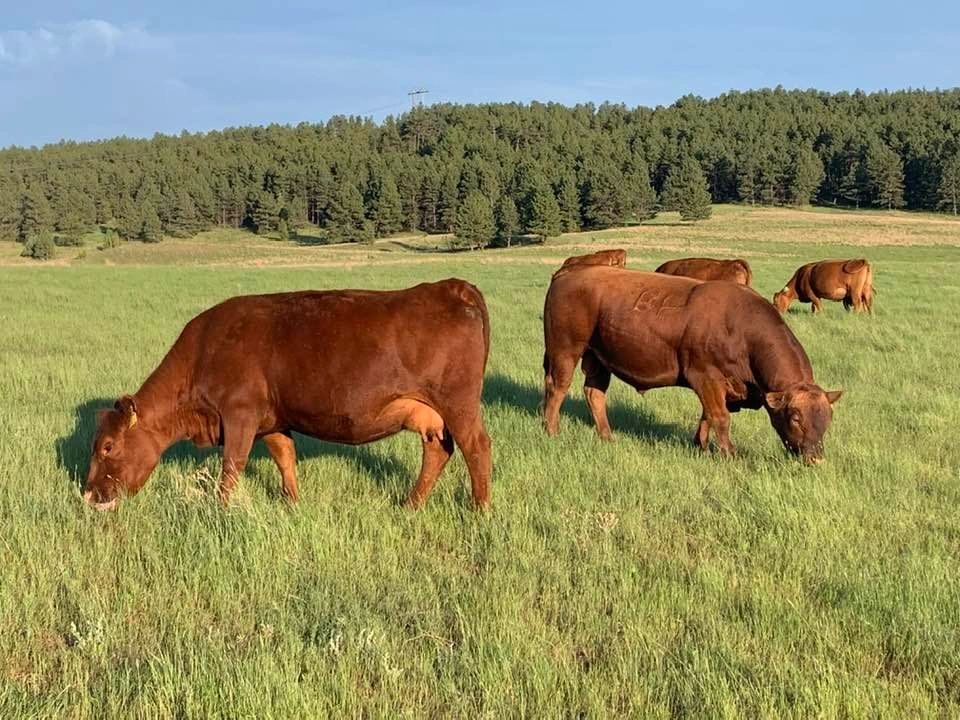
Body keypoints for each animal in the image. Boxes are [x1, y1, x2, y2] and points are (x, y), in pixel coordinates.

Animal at [84, 280, 493, 511]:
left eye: (107, 446)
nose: (87, 495)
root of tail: (449, 285)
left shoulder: (240, 415)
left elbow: (231, 468)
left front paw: (219, 511)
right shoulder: (272, 422)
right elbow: (285, 459)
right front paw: (293, 504)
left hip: (458, 403)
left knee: (476, 447)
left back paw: (479, 510)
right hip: (431, 415)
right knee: (438, 451)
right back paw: (410, 505)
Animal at [542, 267, 842, 464]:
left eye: (827, 419)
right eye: (795, 418)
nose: (816, 458)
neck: (742, 330)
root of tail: (568, 273)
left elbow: (707, 416)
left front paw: (700, 445)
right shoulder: (706, 377)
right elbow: (720, 417)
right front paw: (729, 455)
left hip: (598, 357)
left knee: (594, 393)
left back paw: (607, 436)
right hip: (565, 350)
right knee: (557, 389)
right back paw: (552, 431)